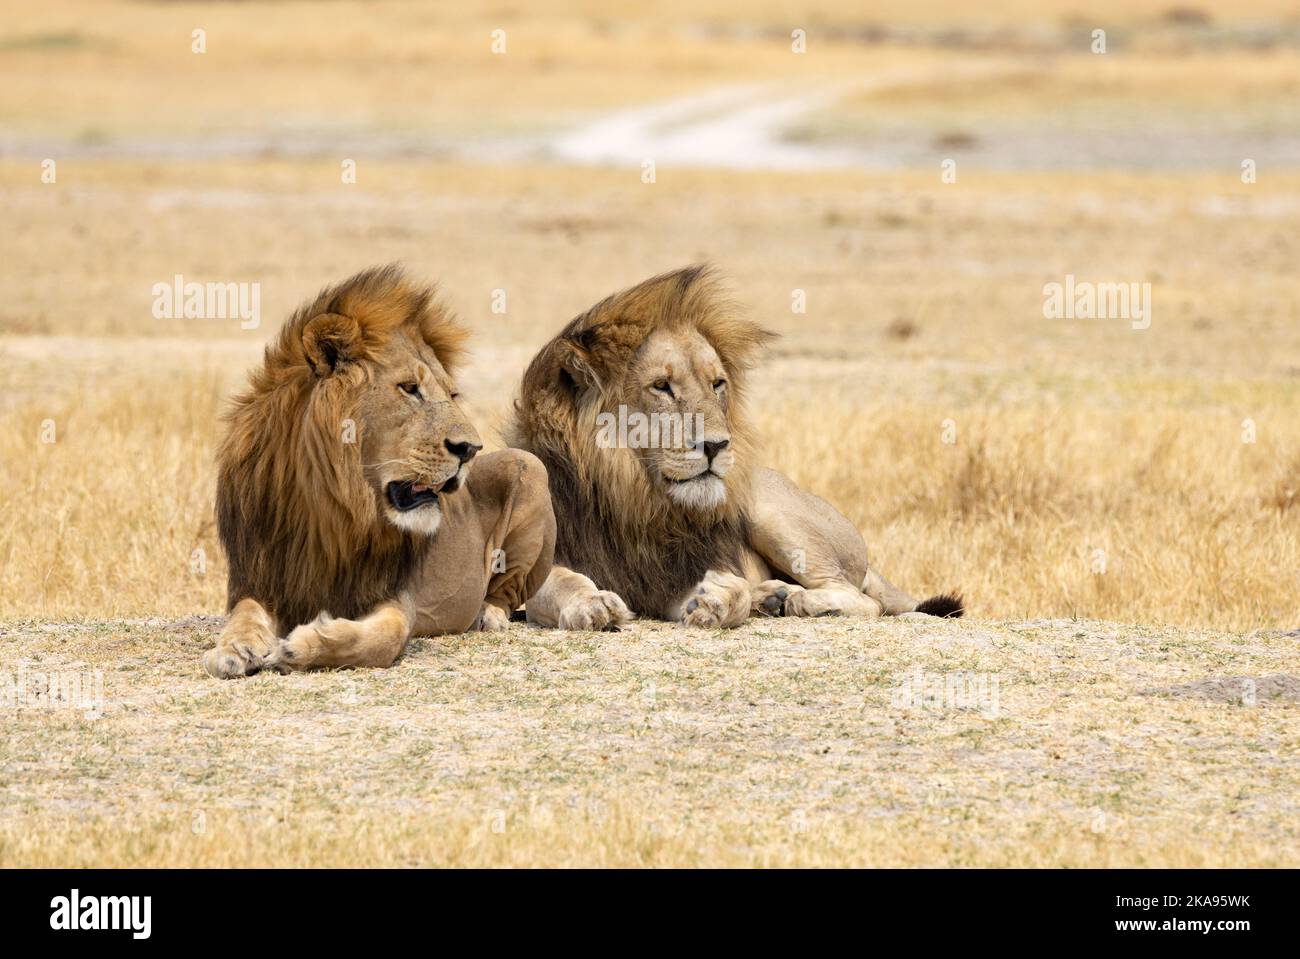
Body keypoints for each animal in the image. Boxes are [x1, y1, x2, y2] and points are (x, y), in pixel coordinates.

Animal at [203, 265, 556, 678]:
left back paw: (489, 614)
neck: (331, 508)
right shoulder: (258, 579)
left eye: (451, 395)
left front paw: (303, 646)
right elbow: (245, 613)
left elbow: (384, 638)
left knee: (507, 590)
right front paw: (234, 648)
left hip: (530, 468)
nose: (470, 449)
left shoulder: (394, 595)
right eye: (410, 388)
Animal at [505, 265, 962, 630]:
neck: (633, 501)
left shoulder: (677, 574)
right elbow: (561, 582)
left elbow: (734, 588)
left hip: (772, 512)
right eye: (662, 386)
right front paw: (592, 602)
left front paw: (720, 600)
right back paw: (774, 598)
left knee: (860, 597)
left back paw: (798, 602)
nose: (717, 445)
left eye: (717, 384)